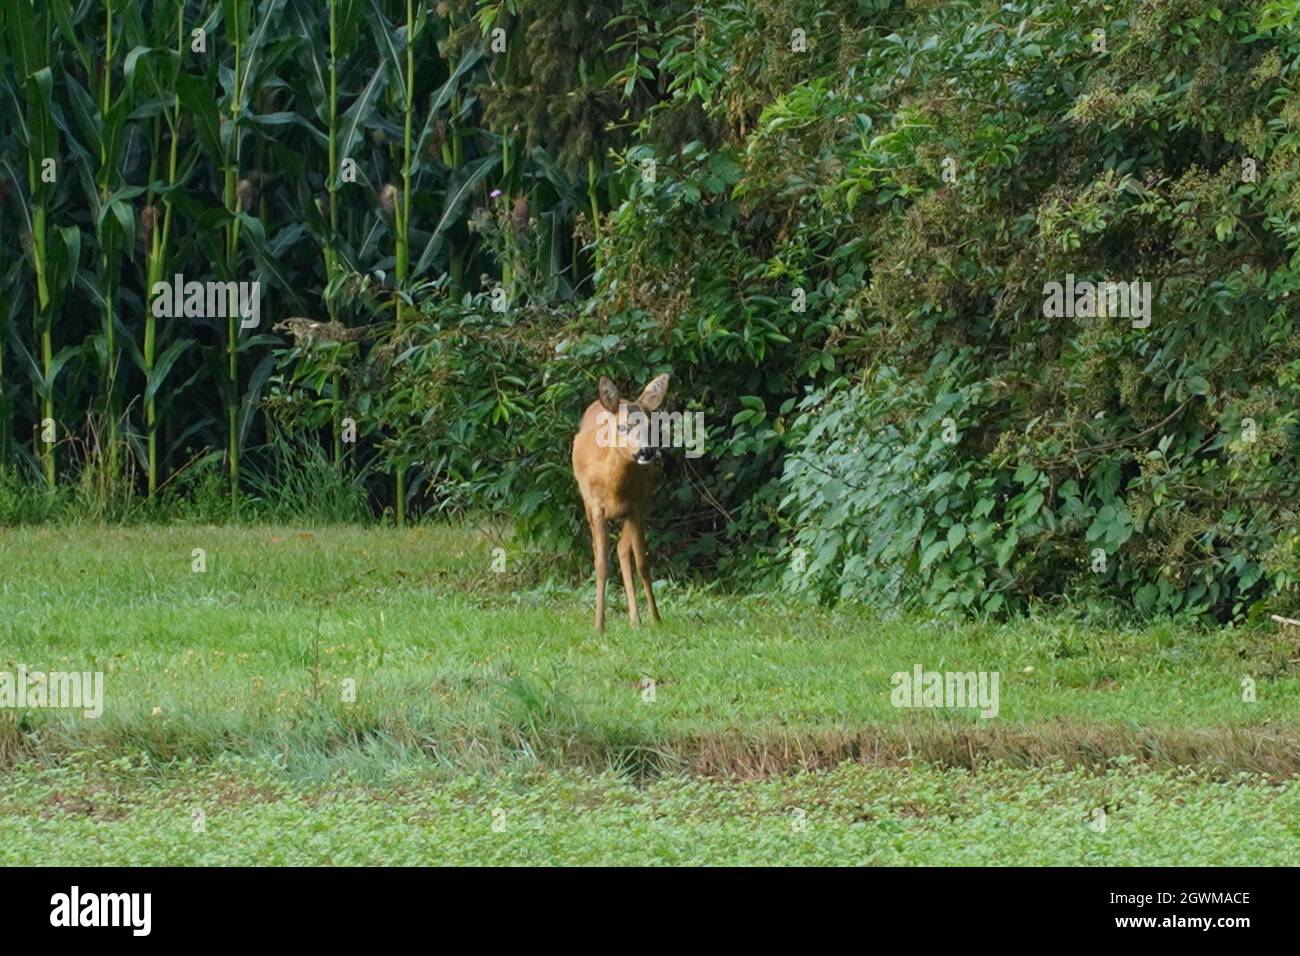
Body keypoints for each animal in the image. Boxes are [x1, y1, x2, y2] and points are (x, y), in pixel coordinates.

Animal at [572, 374, 669, 632]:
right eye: (622, 427)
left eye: (651, 426)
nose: (646, 452)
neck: (614, 487)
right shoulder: (596, 506)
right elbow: (601, 564)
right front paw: (599, 626)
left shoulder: (635, 507)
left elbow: (642, 563)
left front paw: (656, 619)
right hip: (587, 505)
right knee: (604, 550)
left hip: (643, 503)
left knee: (623, 549)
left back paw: (636, 619)